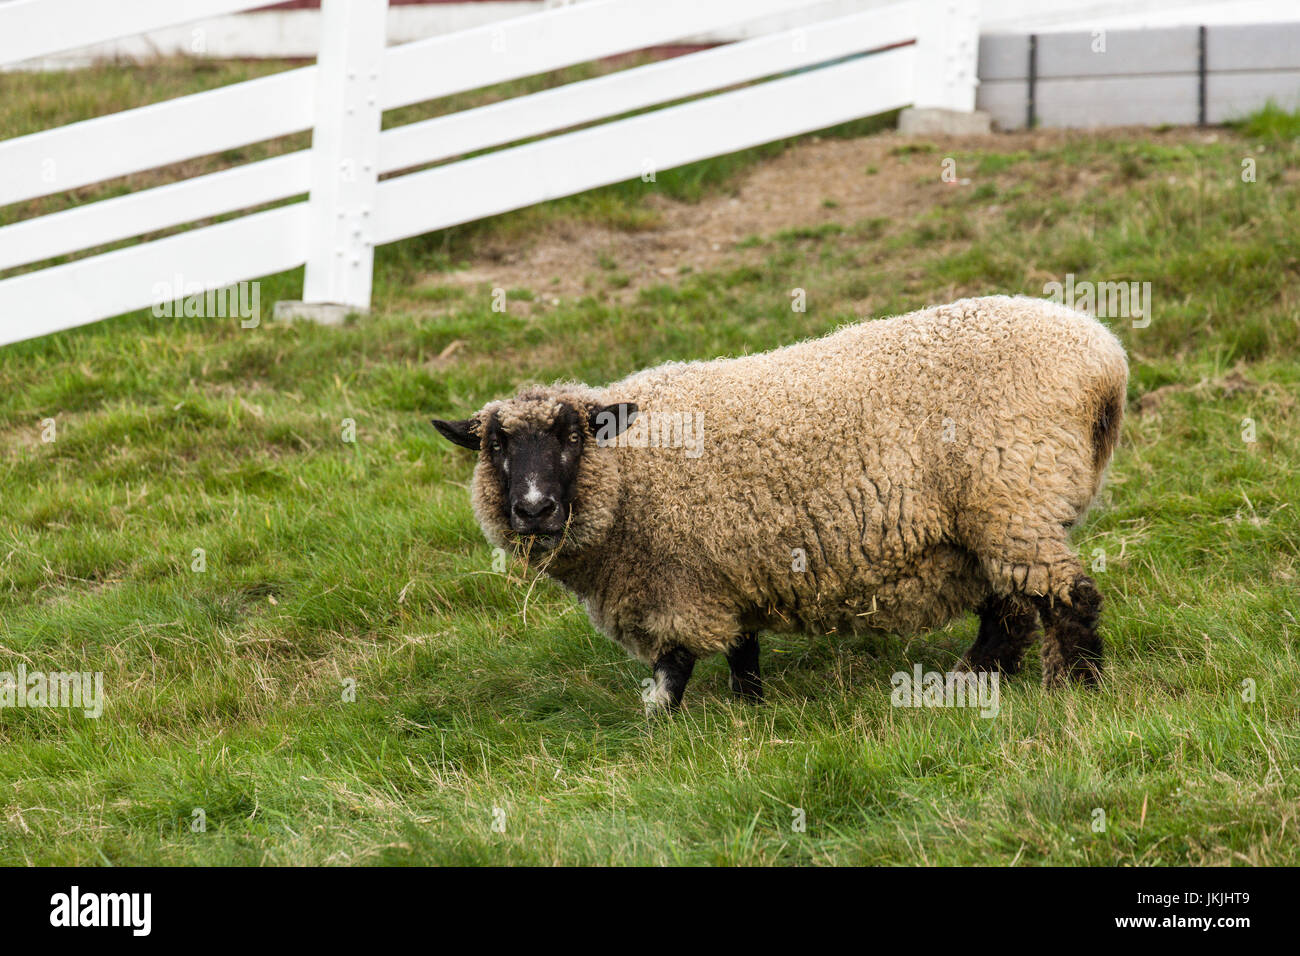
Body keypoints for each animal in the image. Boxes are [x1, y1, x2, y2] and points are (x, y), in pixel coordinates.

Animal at [433, 295, 1128, 712]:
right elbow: (742, 647)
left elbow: (674, 661)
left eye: (572, 438)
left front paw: (662, 720)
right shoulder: (722, 567)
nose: (534, 509)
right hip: (993, 516)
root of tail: (1104, 358)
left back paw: (1075, 690)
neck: (628, 470)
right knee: (1010, 607)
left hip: (1012, 497)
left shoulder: (676, 578)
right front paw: (749, 707)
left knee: (1067, 597)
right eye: (496, 445)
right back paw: (971, 681)